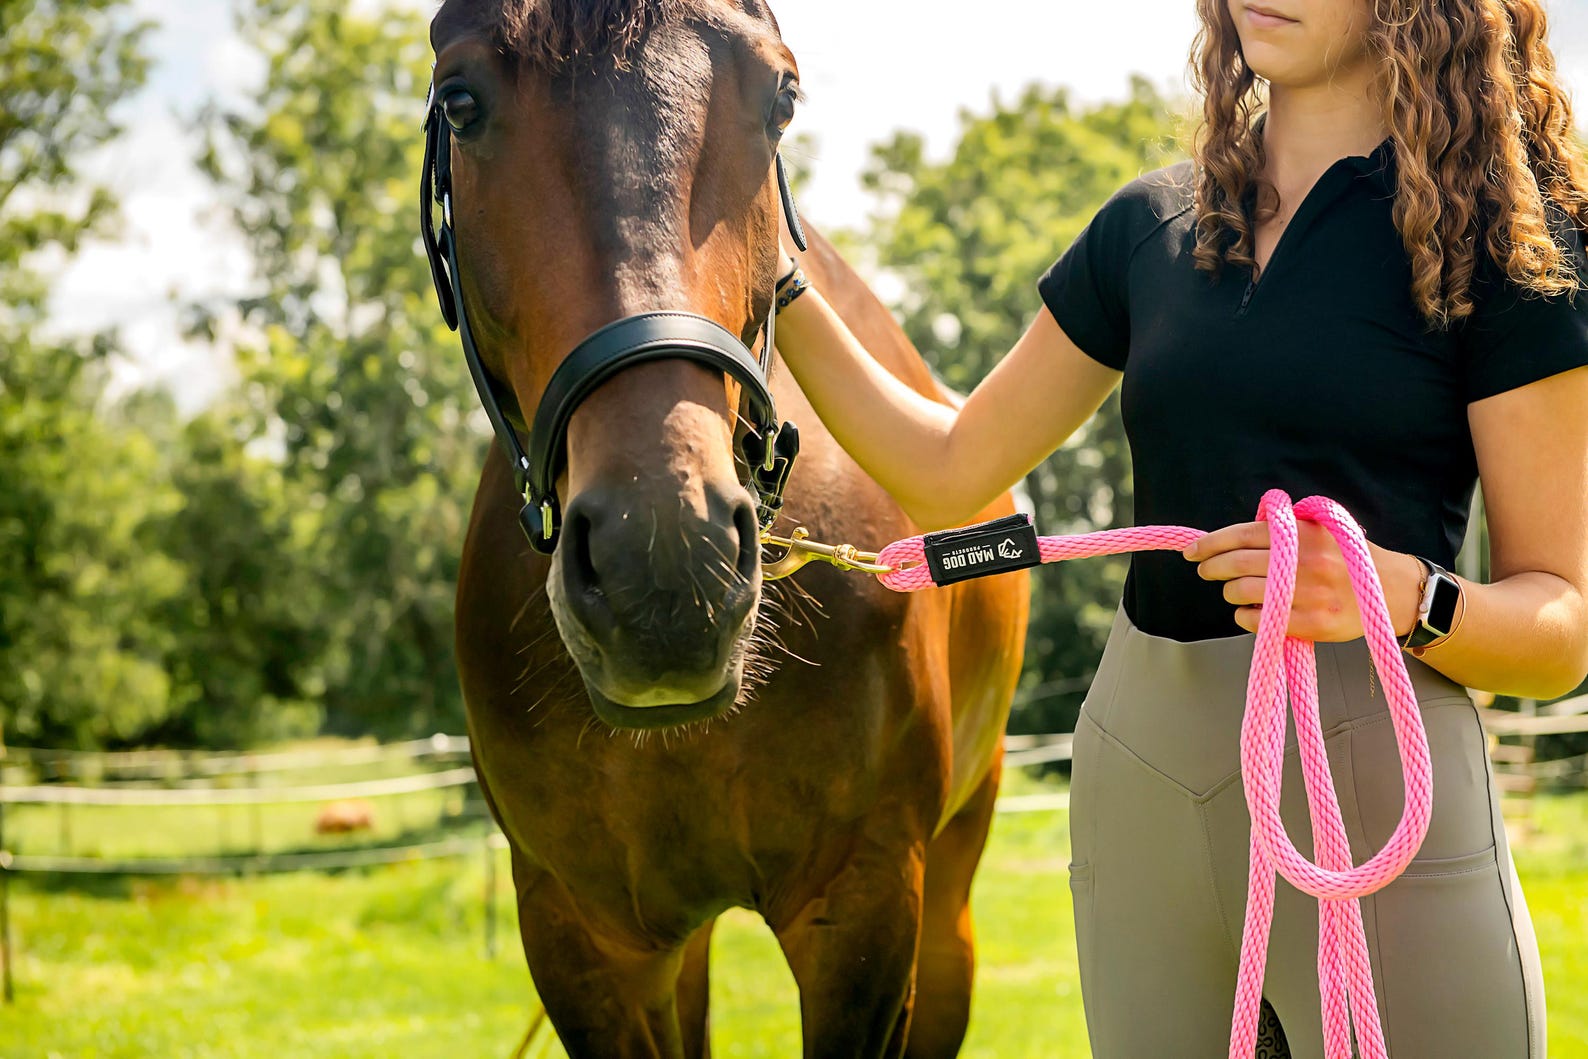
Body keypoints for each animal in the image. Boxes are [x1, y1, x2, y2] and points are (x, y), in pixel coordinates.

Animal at [428, 2, 1028, 1055]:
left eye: (781, 96)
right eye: (460, 101)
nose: (664, 562)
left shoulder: (865, 907)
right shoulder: (585, 936)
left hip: (952, 894)